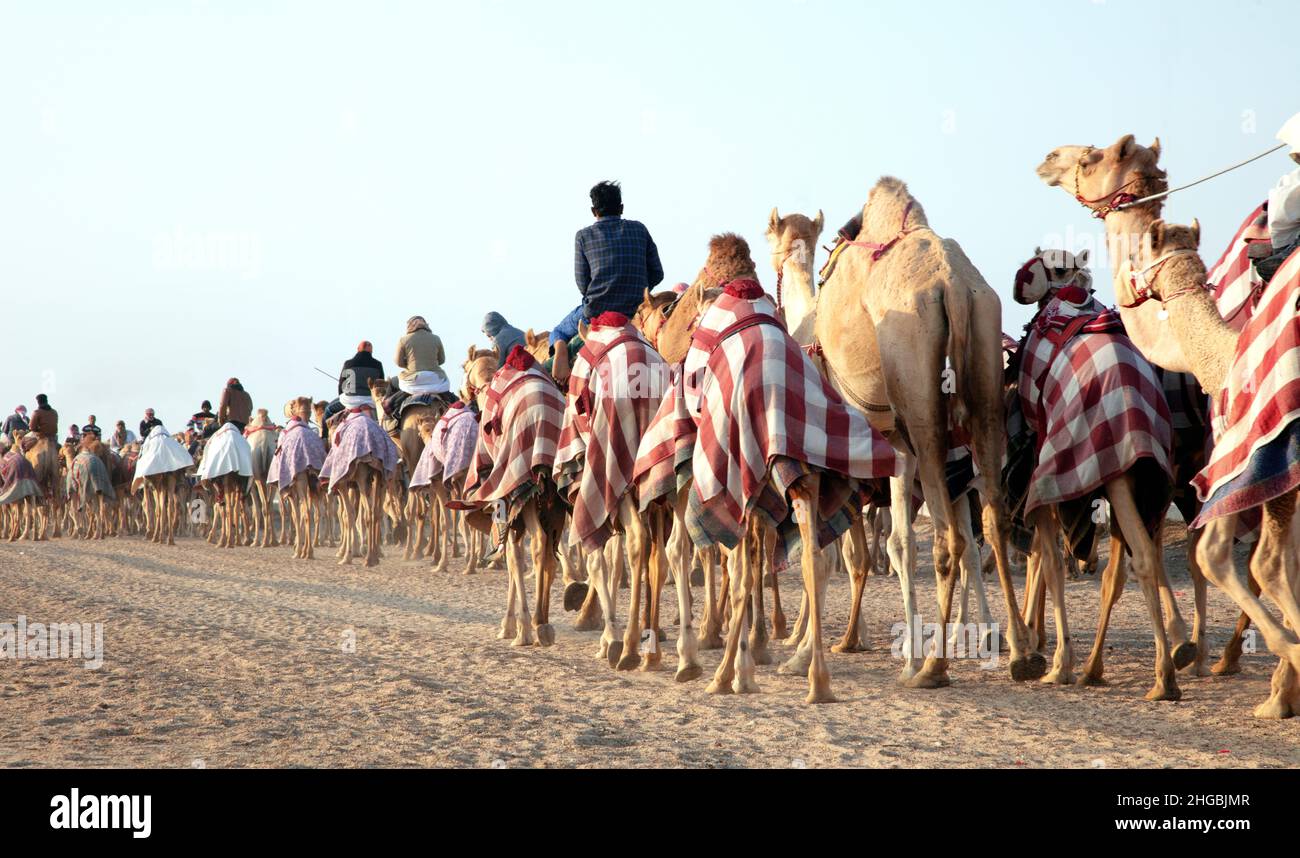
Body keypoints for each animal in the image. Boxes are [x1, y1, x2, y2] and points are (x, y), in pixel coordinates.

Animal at [810, 178, 1044, 687]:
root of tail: (951, 285)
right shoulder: (898, 446)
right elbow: (898, 540)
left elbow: (877, 543)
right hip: (984, 375)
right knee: (992, 517)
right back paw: (1021, 653)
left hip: (922, 401)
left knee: (946, 538)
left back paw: (934, 666)